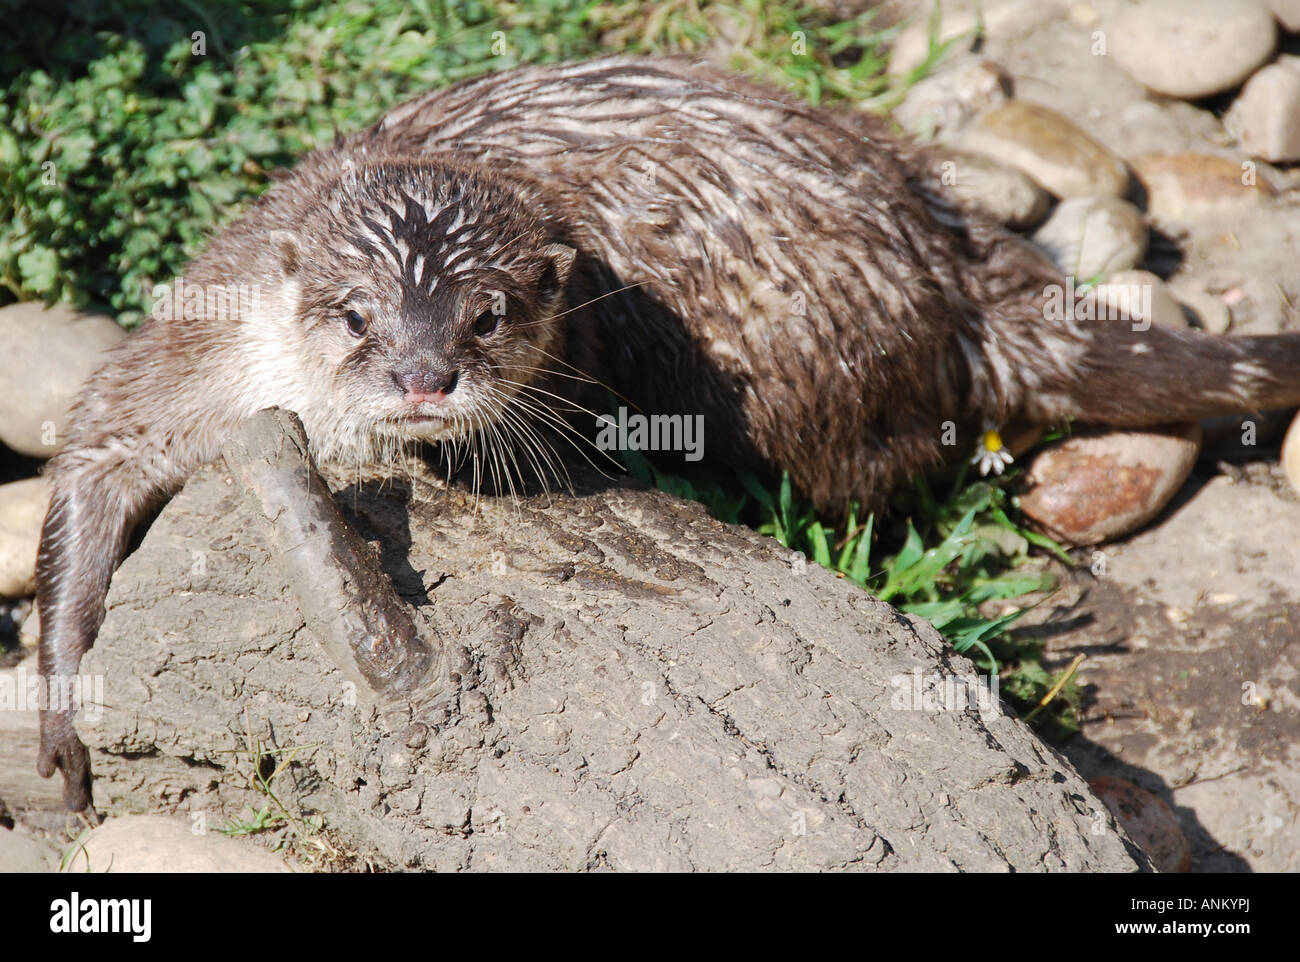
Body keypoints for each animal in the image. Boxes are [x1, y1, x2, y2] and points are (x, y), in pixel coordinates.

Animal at [36, 56, 1300, 812]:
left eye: (491, 314)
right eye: (352, 314)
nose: (424, 376)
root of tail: (946, 278)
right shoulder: (190, 345)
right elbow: (90, 467)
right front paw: (58, 723)